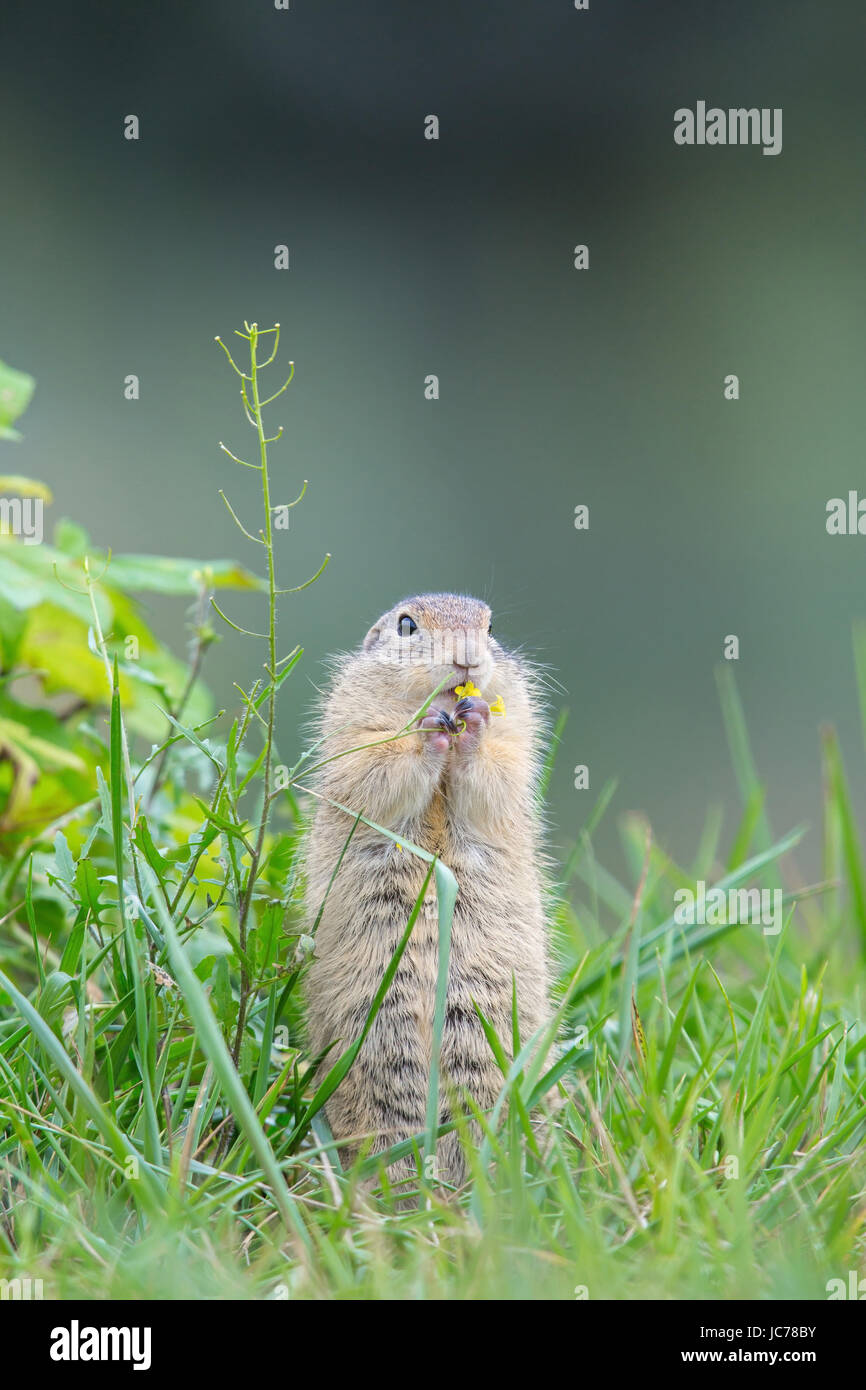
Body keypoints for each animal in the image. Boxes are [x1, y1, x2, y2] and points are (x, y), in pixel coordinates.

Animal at [304, 593, 550, 1196]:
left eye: (491, 626)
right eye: (407, 625)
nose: (466, 658)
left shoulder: (520, 727)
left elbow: (502, 771)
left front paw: (475, 721)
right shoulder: (350, 724)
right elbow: (371, 766)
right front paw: (425, 734)